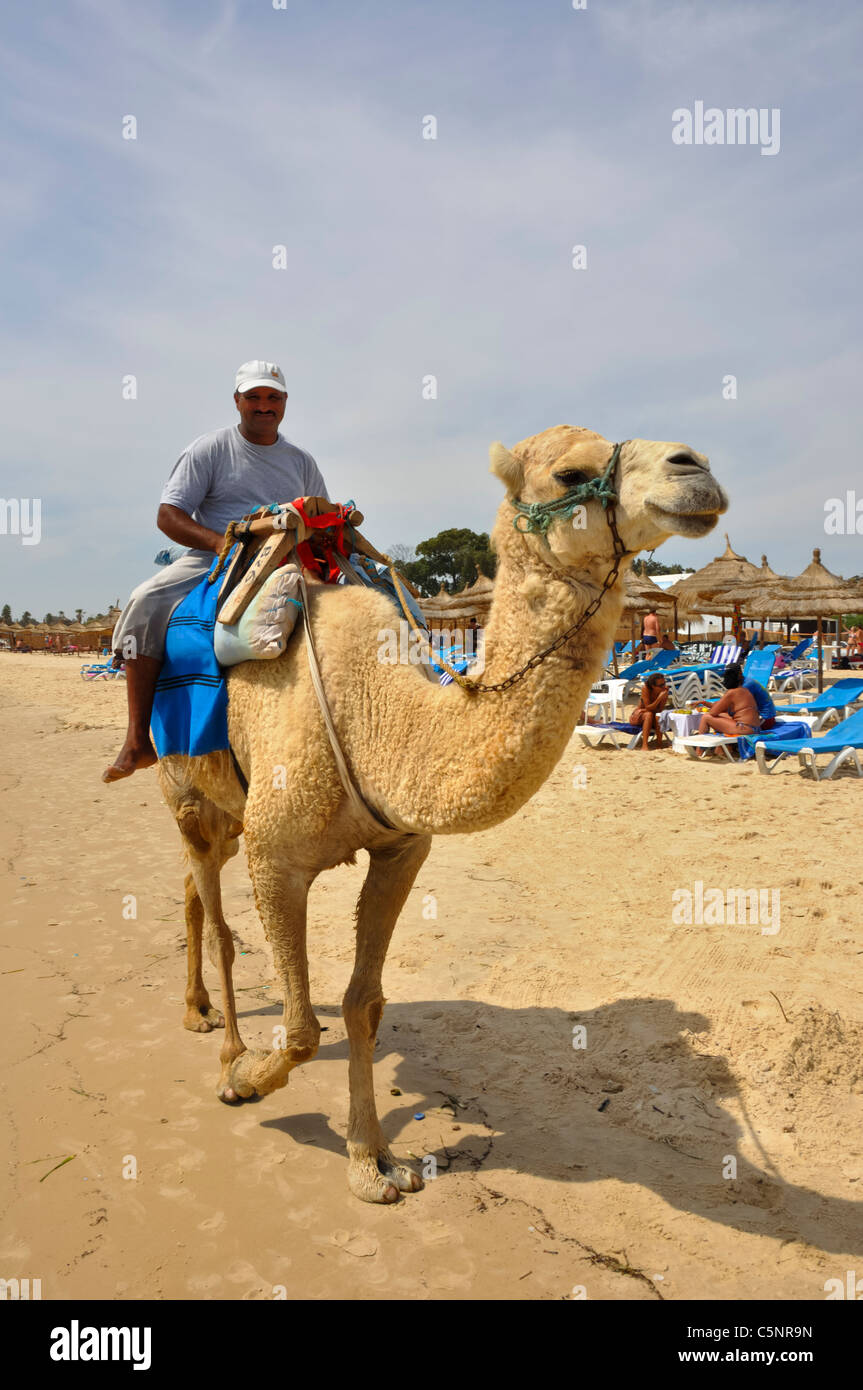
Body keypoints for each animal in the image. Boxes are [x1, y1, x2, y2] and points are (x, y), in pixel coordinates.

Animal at [157, 425, 727, 1203]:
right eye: (569, 472)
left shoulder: (401, 850)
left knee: (194, 887)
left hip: (225, 808)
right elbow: (302, 1029)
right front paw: (246, 1080)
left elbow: (363, 1004)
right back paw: (222, 1043)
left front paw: (371, 1162)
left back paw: (199, 1012)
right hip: (182, 788)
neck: (381, 719)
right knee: (214, 917)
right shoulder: (277, 856)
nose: (694, 469)